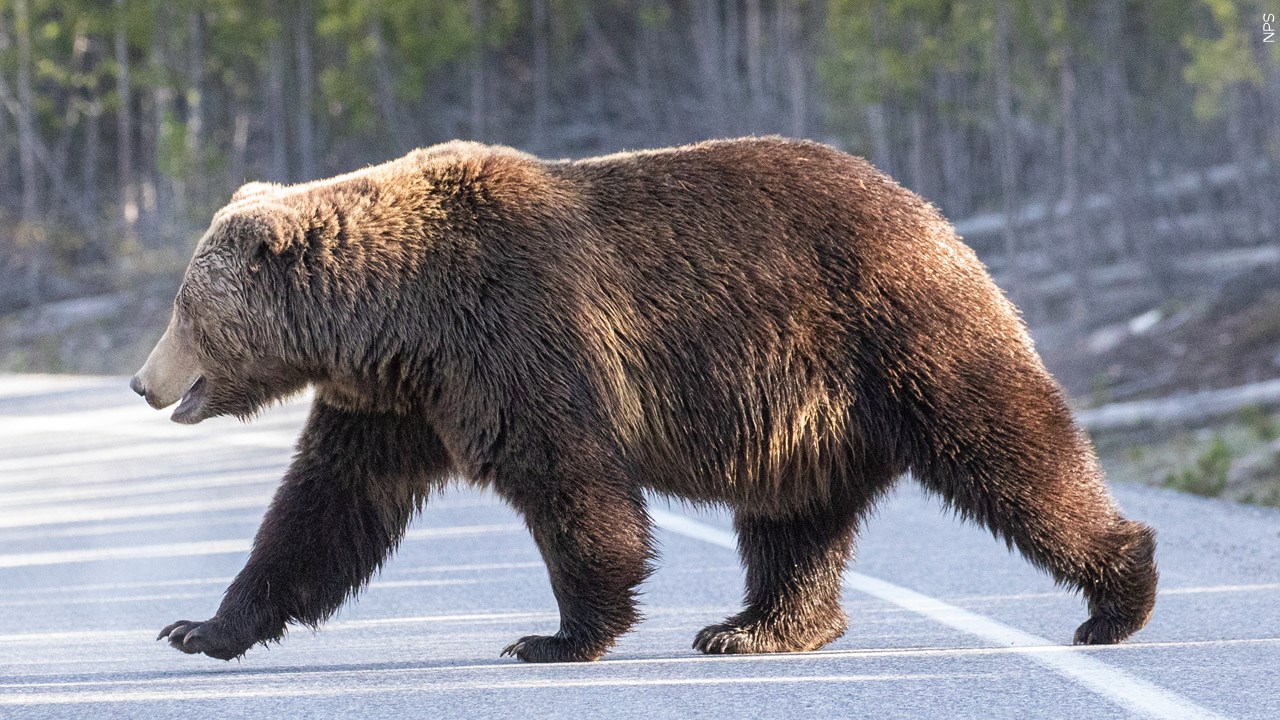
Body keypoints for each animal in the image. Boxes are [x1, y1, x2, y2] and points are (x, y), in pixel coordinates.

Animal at [132, 137, 1157, 663]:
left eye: (184, 307)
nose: (145, 382)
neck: (397, 318)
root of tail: (933, 211)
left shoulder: (516, 334)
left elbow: (572, 484)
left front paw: (556, 635)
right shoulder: (398, 401)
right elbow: (325, 510)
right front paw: (199, 626)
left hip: (894, 328)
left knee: (1004, 448)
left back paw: (1119, 594)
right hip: (805, 415)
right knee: (793, 520)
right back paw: (758, 627)